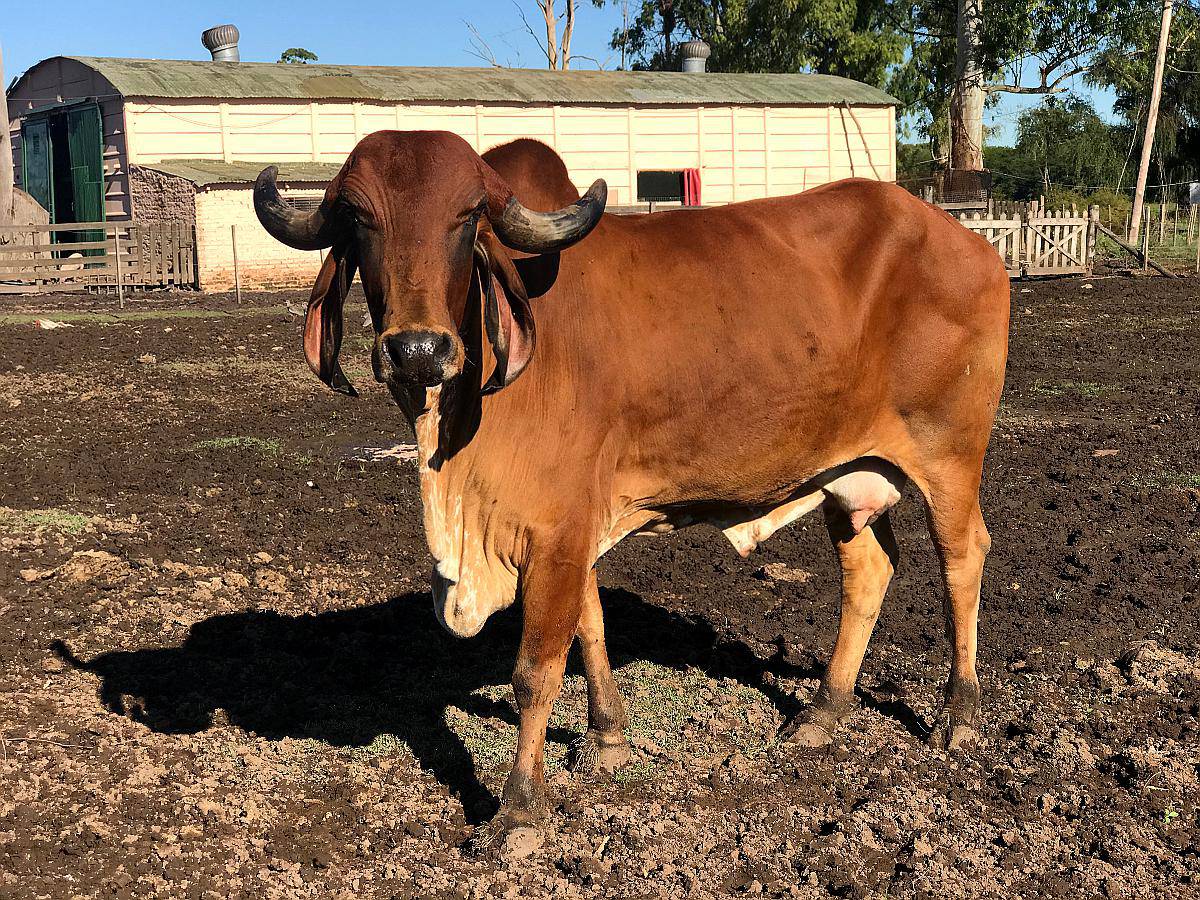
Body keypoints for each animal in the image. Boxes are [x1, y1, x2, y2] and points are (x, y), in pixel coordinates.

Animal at [253, 131, 1010, 848]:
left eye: (466, 217)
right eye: (359, 217)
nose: (417, 350)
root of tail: (971, 243)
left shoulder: (554, 529)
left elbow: (535, 669)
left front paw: (521, 811)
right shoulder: (573, 520)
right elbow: (590, 627)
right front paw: (608, 737)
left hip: (950, 455)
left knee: (962, 561)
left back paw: (959, 715)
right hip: (846, 480)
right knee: (869, 572)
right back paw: (824, 710)